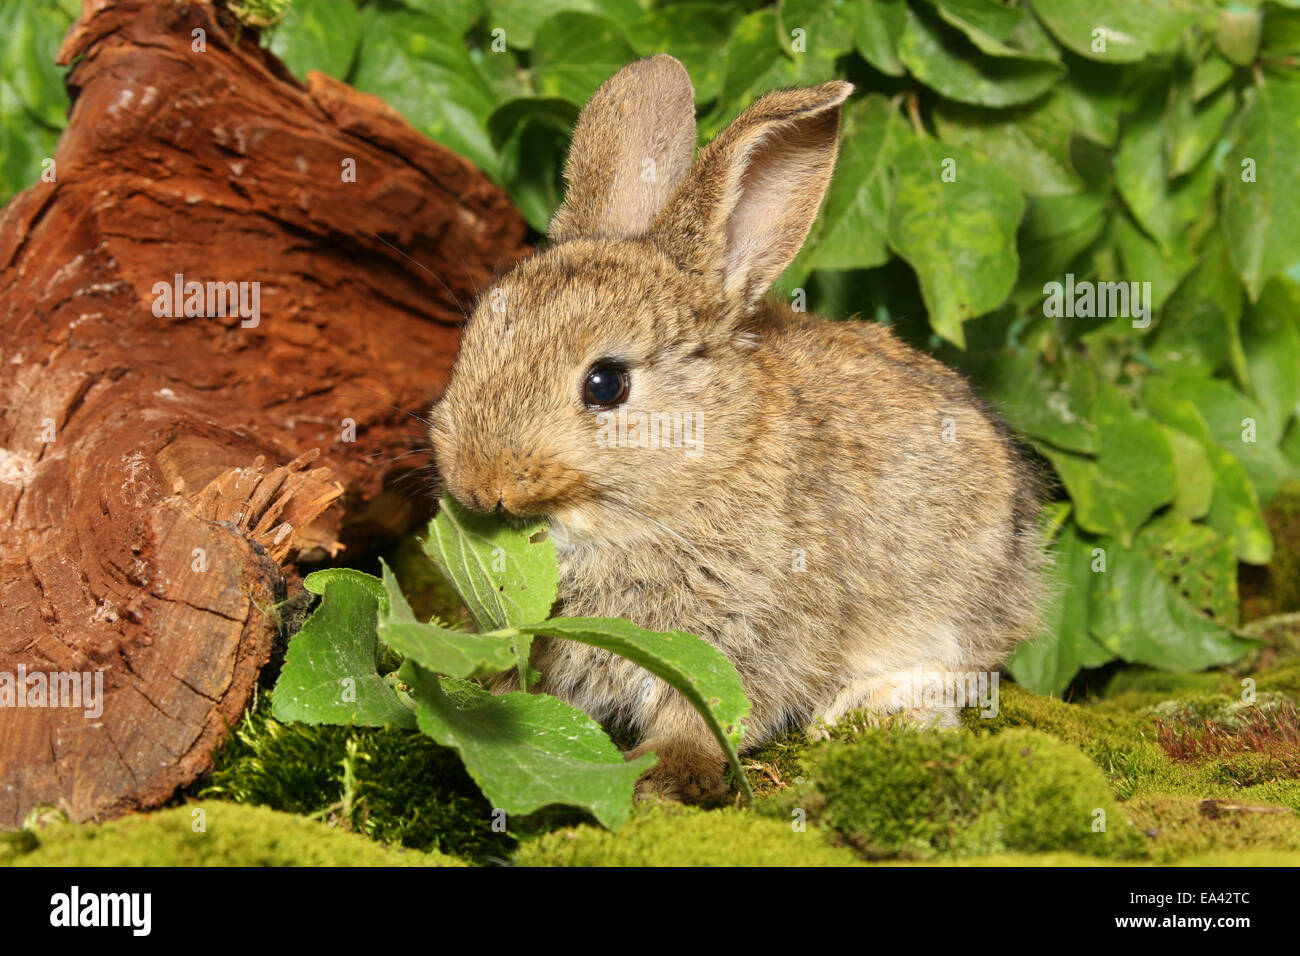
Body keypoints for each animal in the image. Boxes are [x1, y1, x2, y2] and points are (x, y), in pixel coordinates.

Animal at [428, 55, 1047, 803]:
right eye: (478, 332)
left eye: (606, 384)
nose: (476, 484)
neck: (708, 458)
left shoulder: (747, 629)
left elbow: (709, 708)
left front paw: (669, 774)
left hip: (955, 597)